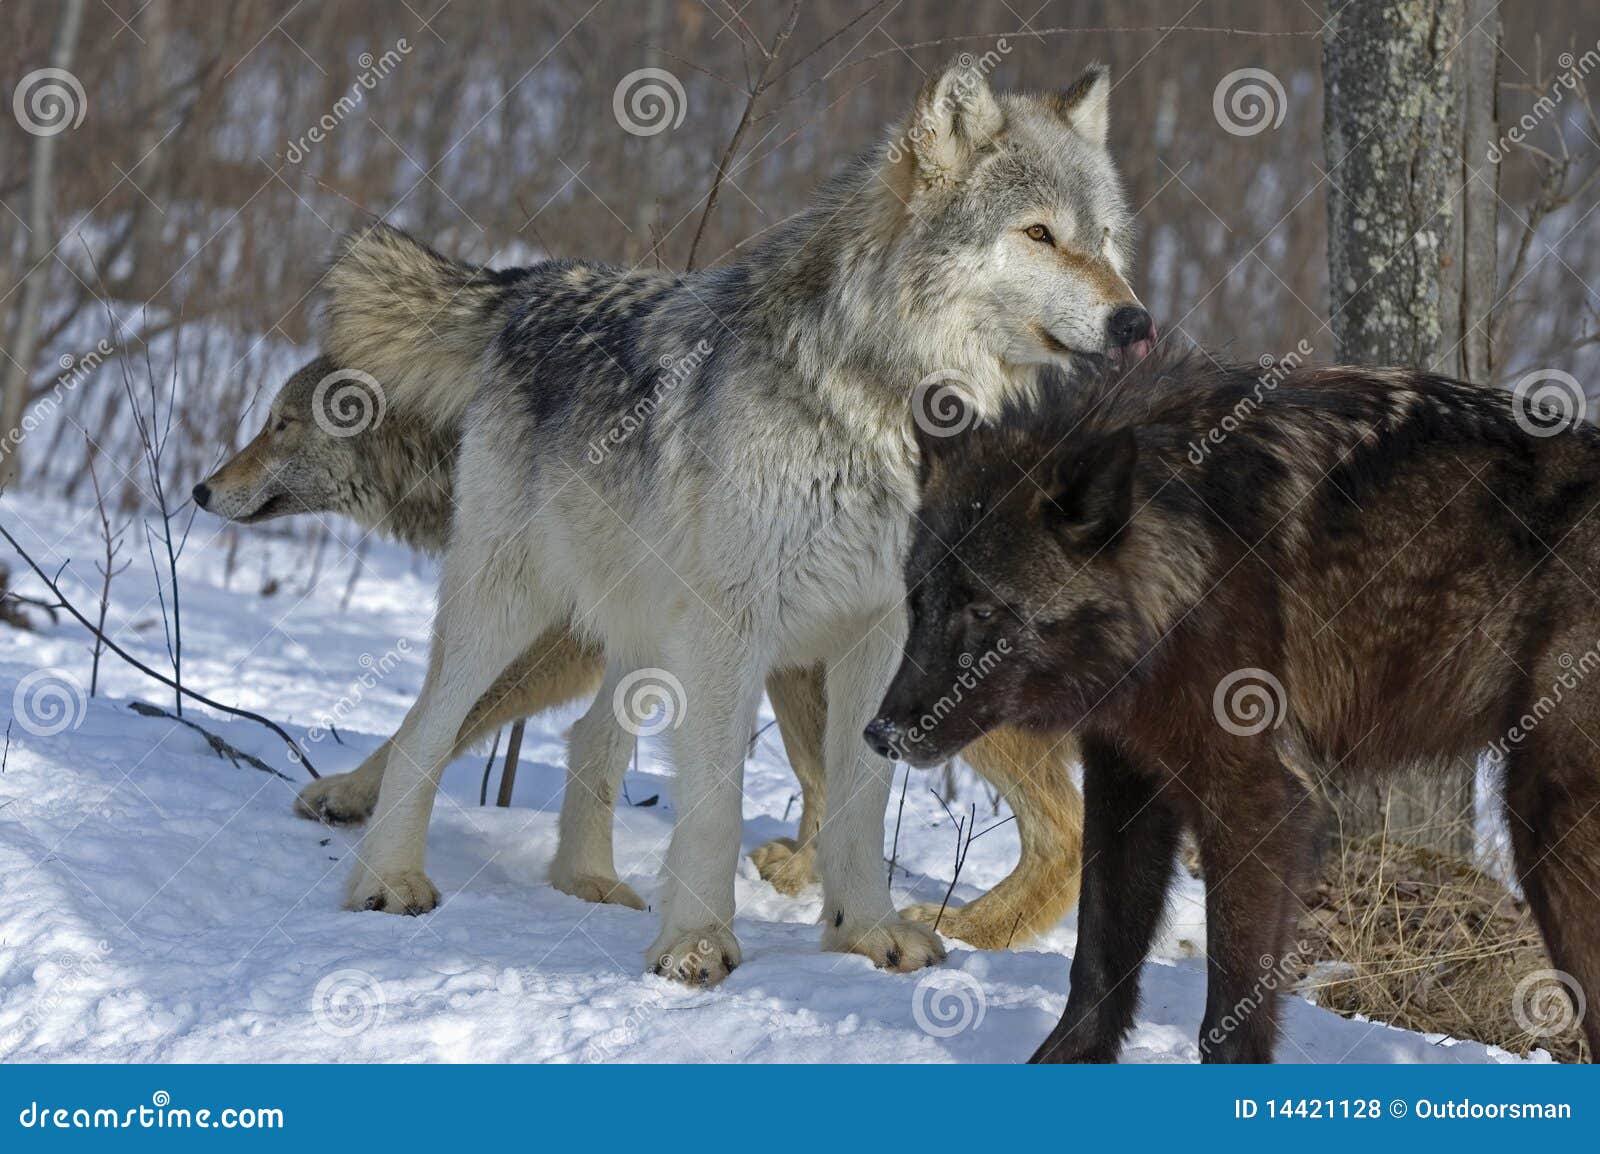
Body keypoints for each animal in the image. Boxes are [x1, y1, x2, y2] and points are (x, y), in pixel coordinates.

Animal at [194, 355, 1085, 944]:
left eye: (278, 425)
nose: (202, 488)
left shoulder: (570, 642)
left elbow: (442, 720)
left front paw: (348, 792)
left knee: (1065, 831)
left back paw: (967, 927)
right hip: (800, 671)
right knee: (828, 784)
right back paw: (803, 879)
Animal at [318, 58, 1149, 983]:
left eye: (1104, 240)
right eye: (1039, 234)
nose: (1136, 321)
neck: (886, 407)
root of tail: (532, 285)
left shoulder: (880, 635)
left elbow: (860, 800)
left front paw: (866, 932)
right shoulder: (733, 628)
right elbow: (716, 803)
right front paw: (696, 943)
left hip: (646, 631)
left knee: (589, 737)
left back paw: (587, 883)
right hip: (513, 606)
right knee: (426, 729)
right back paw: (387, 880)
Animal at [869, 354, 1600, 1062]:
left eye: (985, 609)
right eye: (917, 601)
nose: (880, 735)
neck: (1190, 563)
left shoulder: (1259, 800)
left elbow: (1229, 1016)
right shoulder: (1127, 780)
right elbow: (1097, 969)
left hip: (1548, 826)